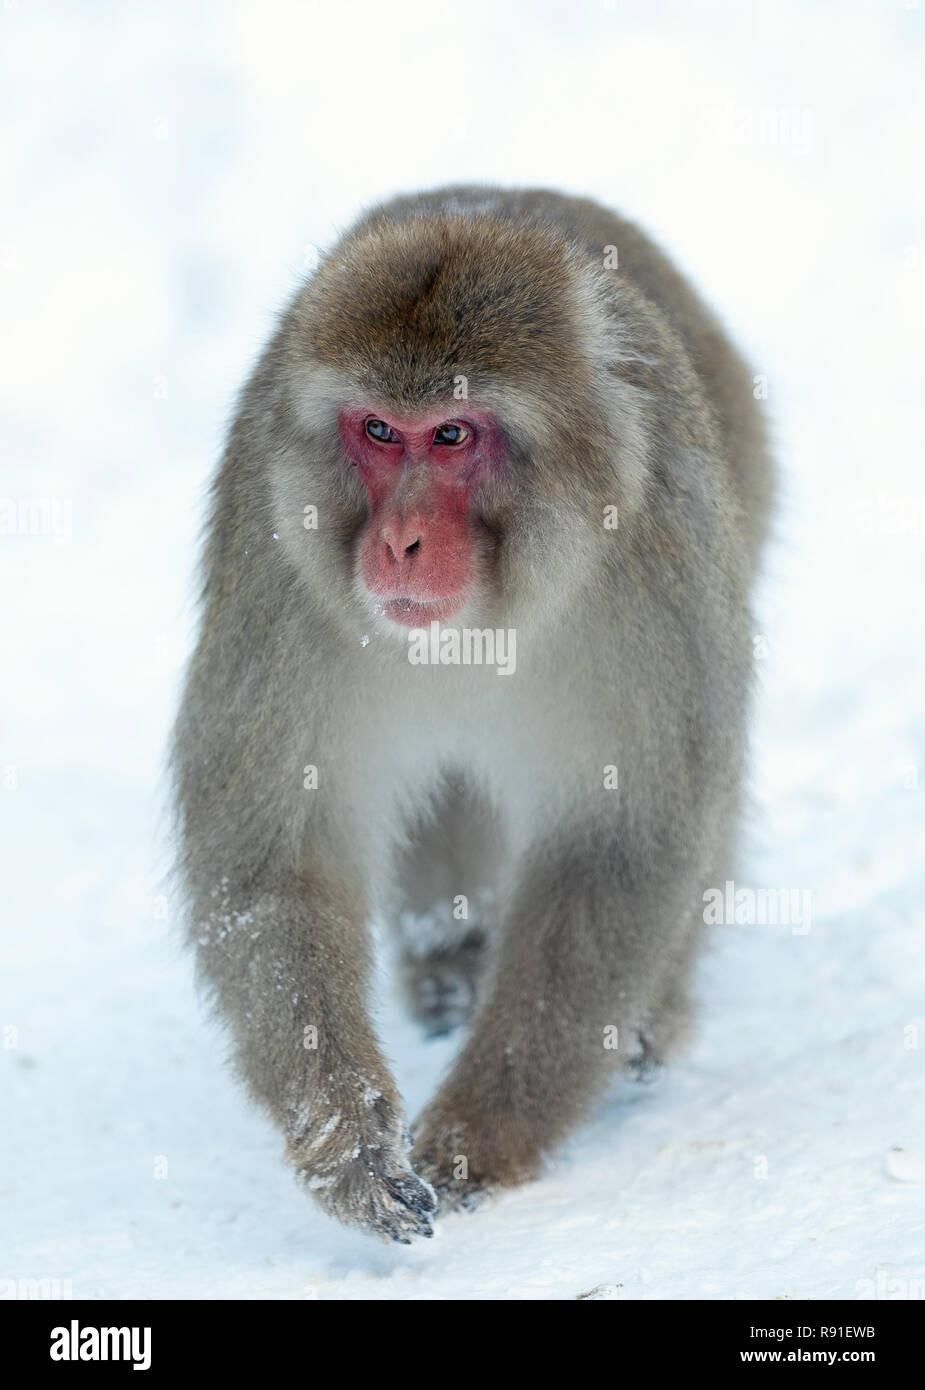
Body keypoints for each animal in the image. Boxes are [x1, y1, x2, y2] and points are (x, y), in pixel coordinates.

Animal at [170, 185, 774, 1243]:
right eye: (379, 431)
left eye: (451, 434)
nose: (400, 543)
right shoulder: (277, 558)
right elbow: (273, 851)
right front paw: (347, 1139)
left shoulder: (657, 554)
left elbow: (622, 837)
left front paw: (479, 1136)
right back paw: (448, 969)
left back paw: (649, 1017)